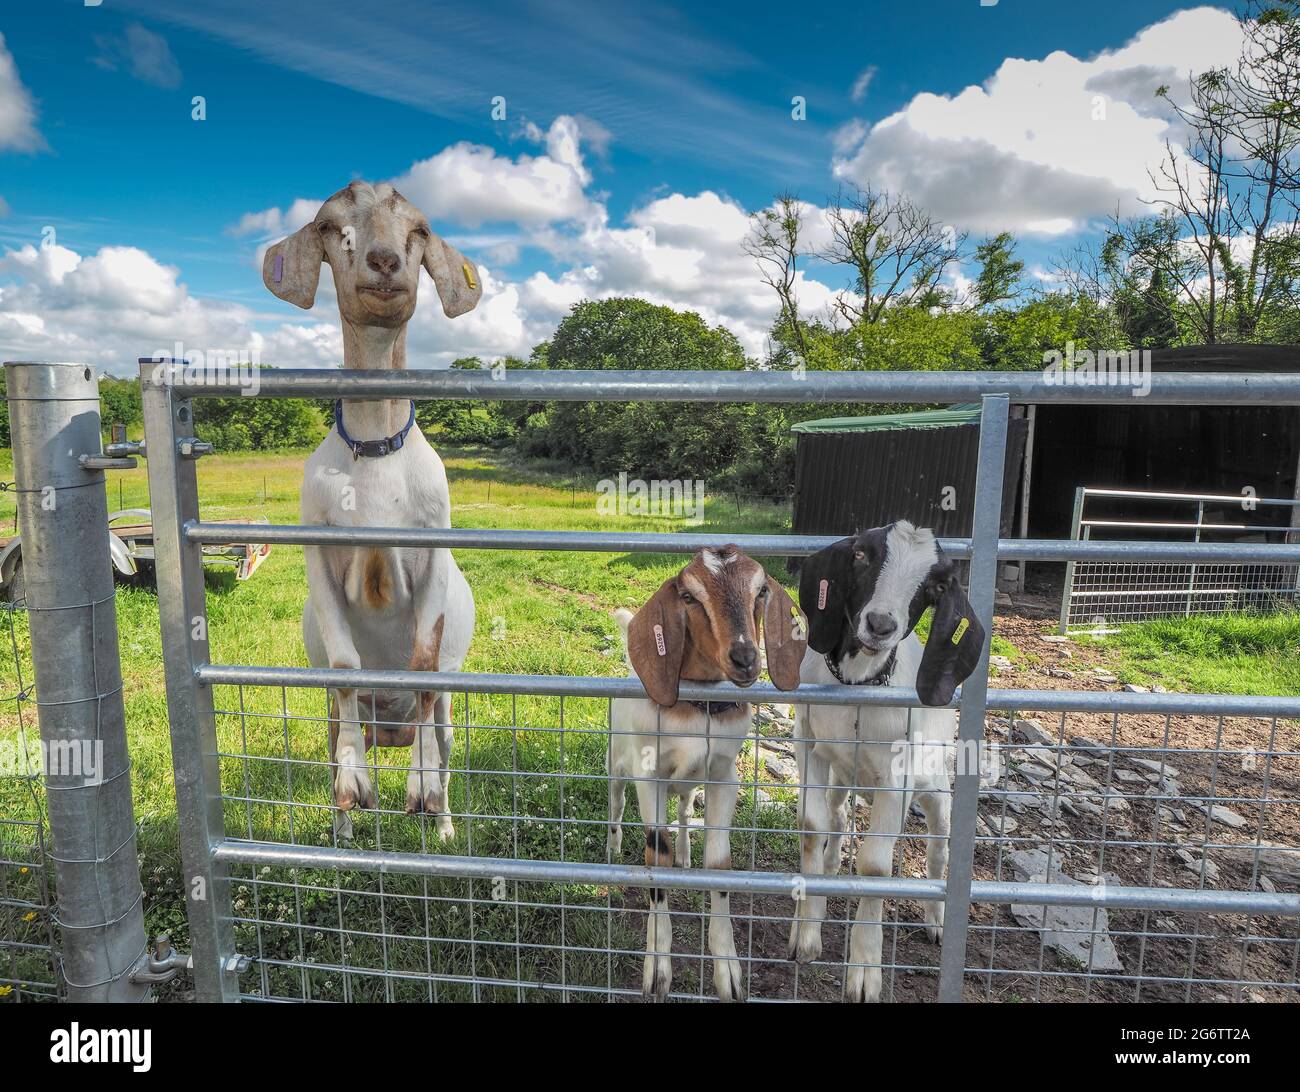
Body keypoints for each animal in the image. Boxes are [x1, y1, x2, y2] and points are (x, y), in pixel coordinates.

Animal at [262, 180, 482, 842]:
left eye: (420, 229)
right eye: (329, 226)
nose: (383, 262)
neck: (377, 452)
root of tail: (391, 725)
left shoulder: (432, 552)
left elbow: (425, 664)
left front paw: (420, 789)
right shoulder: (319, 550)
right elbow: (343, 661)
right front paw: (354, 788)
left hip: (451, 714)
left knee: (442, 738)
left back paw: (442, 821)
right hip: (341, 716)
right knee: (343, 726)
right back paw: (344, 827)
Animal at [607, 546, 803, 1001]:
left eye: (761, 589)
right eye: (689, 596)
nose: (745, 658)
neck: (699, 708)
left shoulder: (723, 777)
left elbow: (719, 862)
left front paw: (728, 973)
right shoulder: (650, 775)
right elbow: (654, 855)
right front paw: (657, 972)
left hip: (689, 784)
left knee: (683, 811)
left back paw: (684, 854)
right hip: (617, 764)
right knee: (616, 803)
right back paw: (612, 847)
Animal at [787, 521, 985, 1002]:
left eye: (936, 585)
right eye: (862, 554)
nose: (880, 625)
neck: (859, 688)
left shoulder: (897, 780)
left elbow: (877, 865)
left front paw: (864, 971)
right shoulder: (809, 746)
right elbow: (812, 827)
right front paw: (806, 932)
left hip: (935, 790)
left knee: (938, 848)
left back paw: (936, 922)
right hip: (842, 777)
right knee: (838, 819)